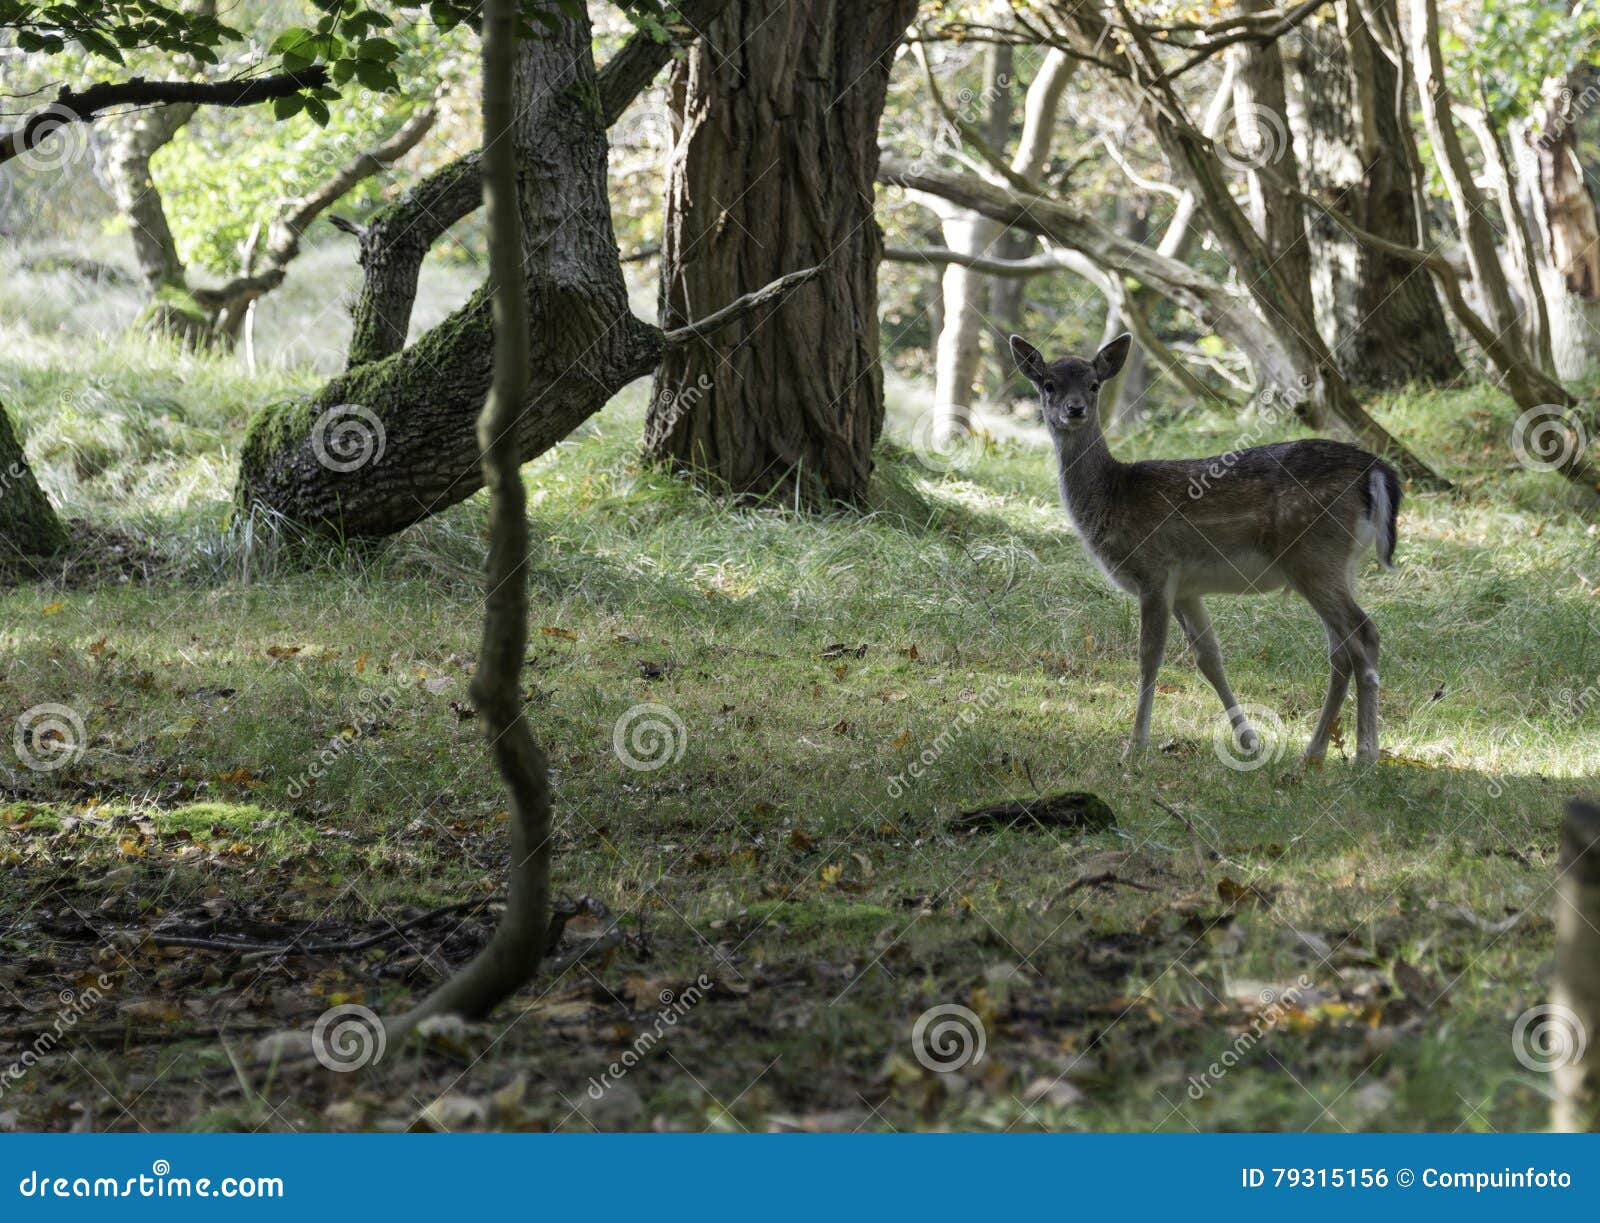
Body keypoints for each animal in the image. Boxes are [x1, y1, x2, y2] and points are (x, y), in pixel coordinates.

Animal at [1009, 332, 1399, 767]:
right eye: (1048, 384)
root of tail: (1376, 470)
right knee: (1341, 650)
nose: (1074, 409)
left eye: (1094, 385)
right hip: (1337, 564)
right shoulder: (1186, 588)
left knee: (1364, 634)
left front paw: (1134, 747)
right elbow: (1209, 658)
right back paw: (1313, 754)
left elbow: (1149, 656)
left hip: (1315, 556)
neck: (1113, 497)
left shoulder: (1154, 570)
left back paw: (1366, 755)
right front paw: (1249, 741)